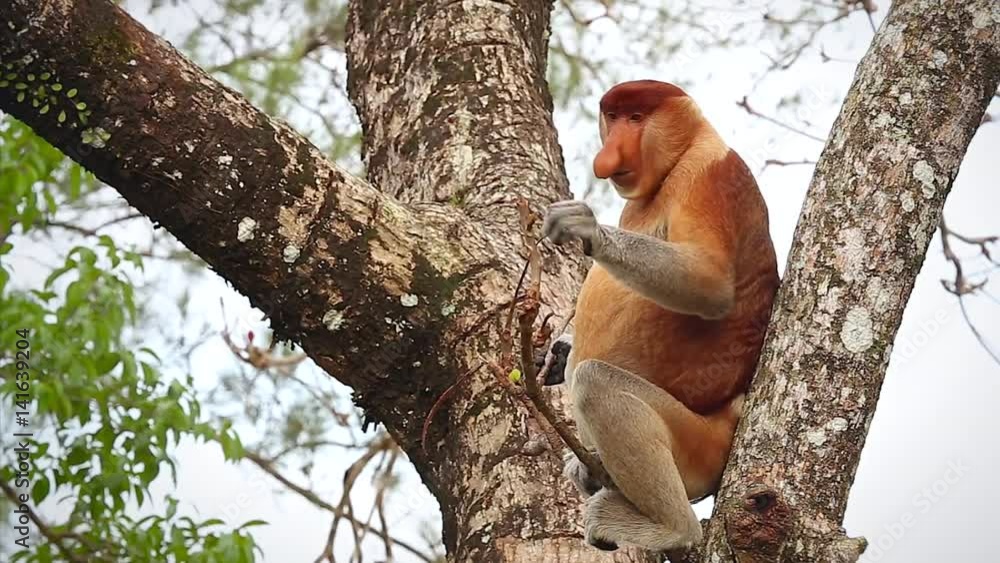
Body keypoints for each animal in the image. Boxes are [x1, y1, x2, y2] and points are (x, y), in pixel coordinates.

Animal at [541, 80, 779, 553]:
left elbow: (708, 282)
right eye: (613, 117)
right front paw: (559, 352)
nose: (610, 153)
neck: (681, 157)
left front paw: (587, 229)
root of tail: (730, 414)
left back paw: (672, 528)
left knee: (596, 383)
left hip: (697, 443)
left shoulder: (708, 177)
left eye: (636, 118)